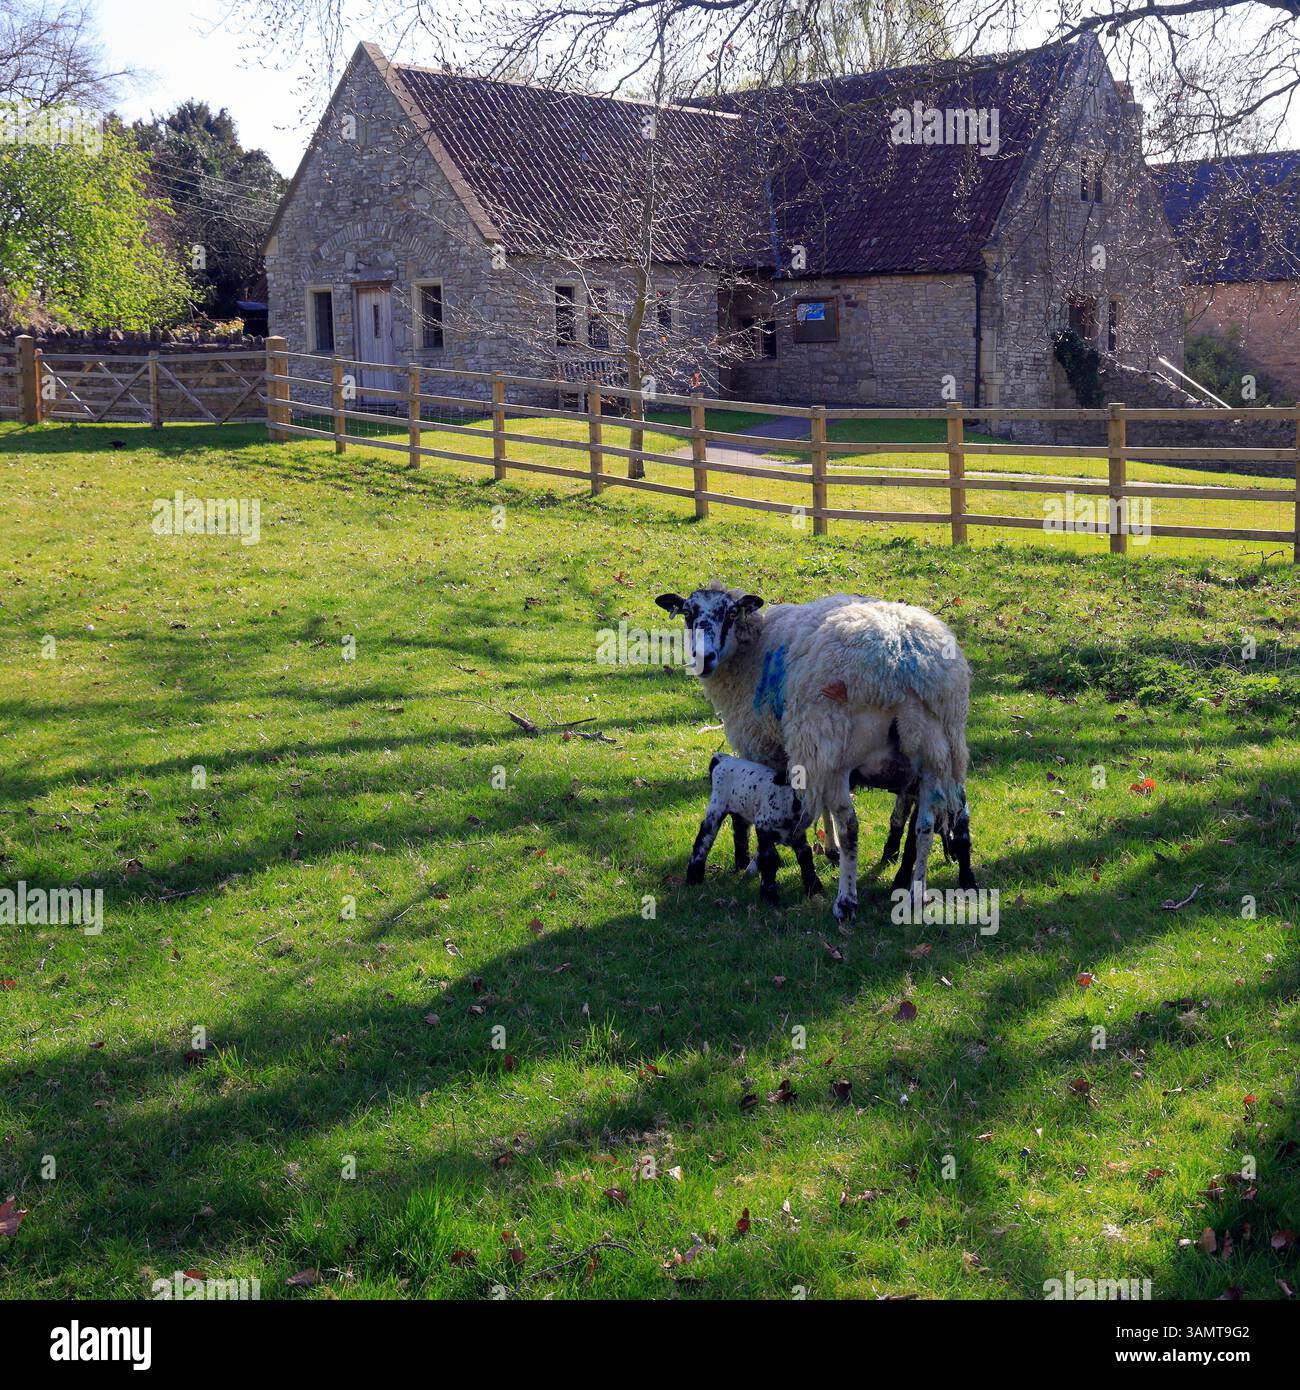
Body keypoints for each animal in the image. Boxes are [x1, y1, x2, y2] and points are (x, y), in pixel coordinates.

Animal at [688, 754, 823, 904]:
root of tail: (721, 758)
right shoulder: (763, 826)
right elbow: (770, 858)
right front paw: (769, 896)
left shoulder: (797, 834)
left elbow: (805, 856)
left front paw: (814, 888)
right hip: (717, 805)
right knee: (704, 838)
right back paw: (694, 877)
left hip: (740, 810)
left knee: (740, 834)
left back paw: (742, 865)